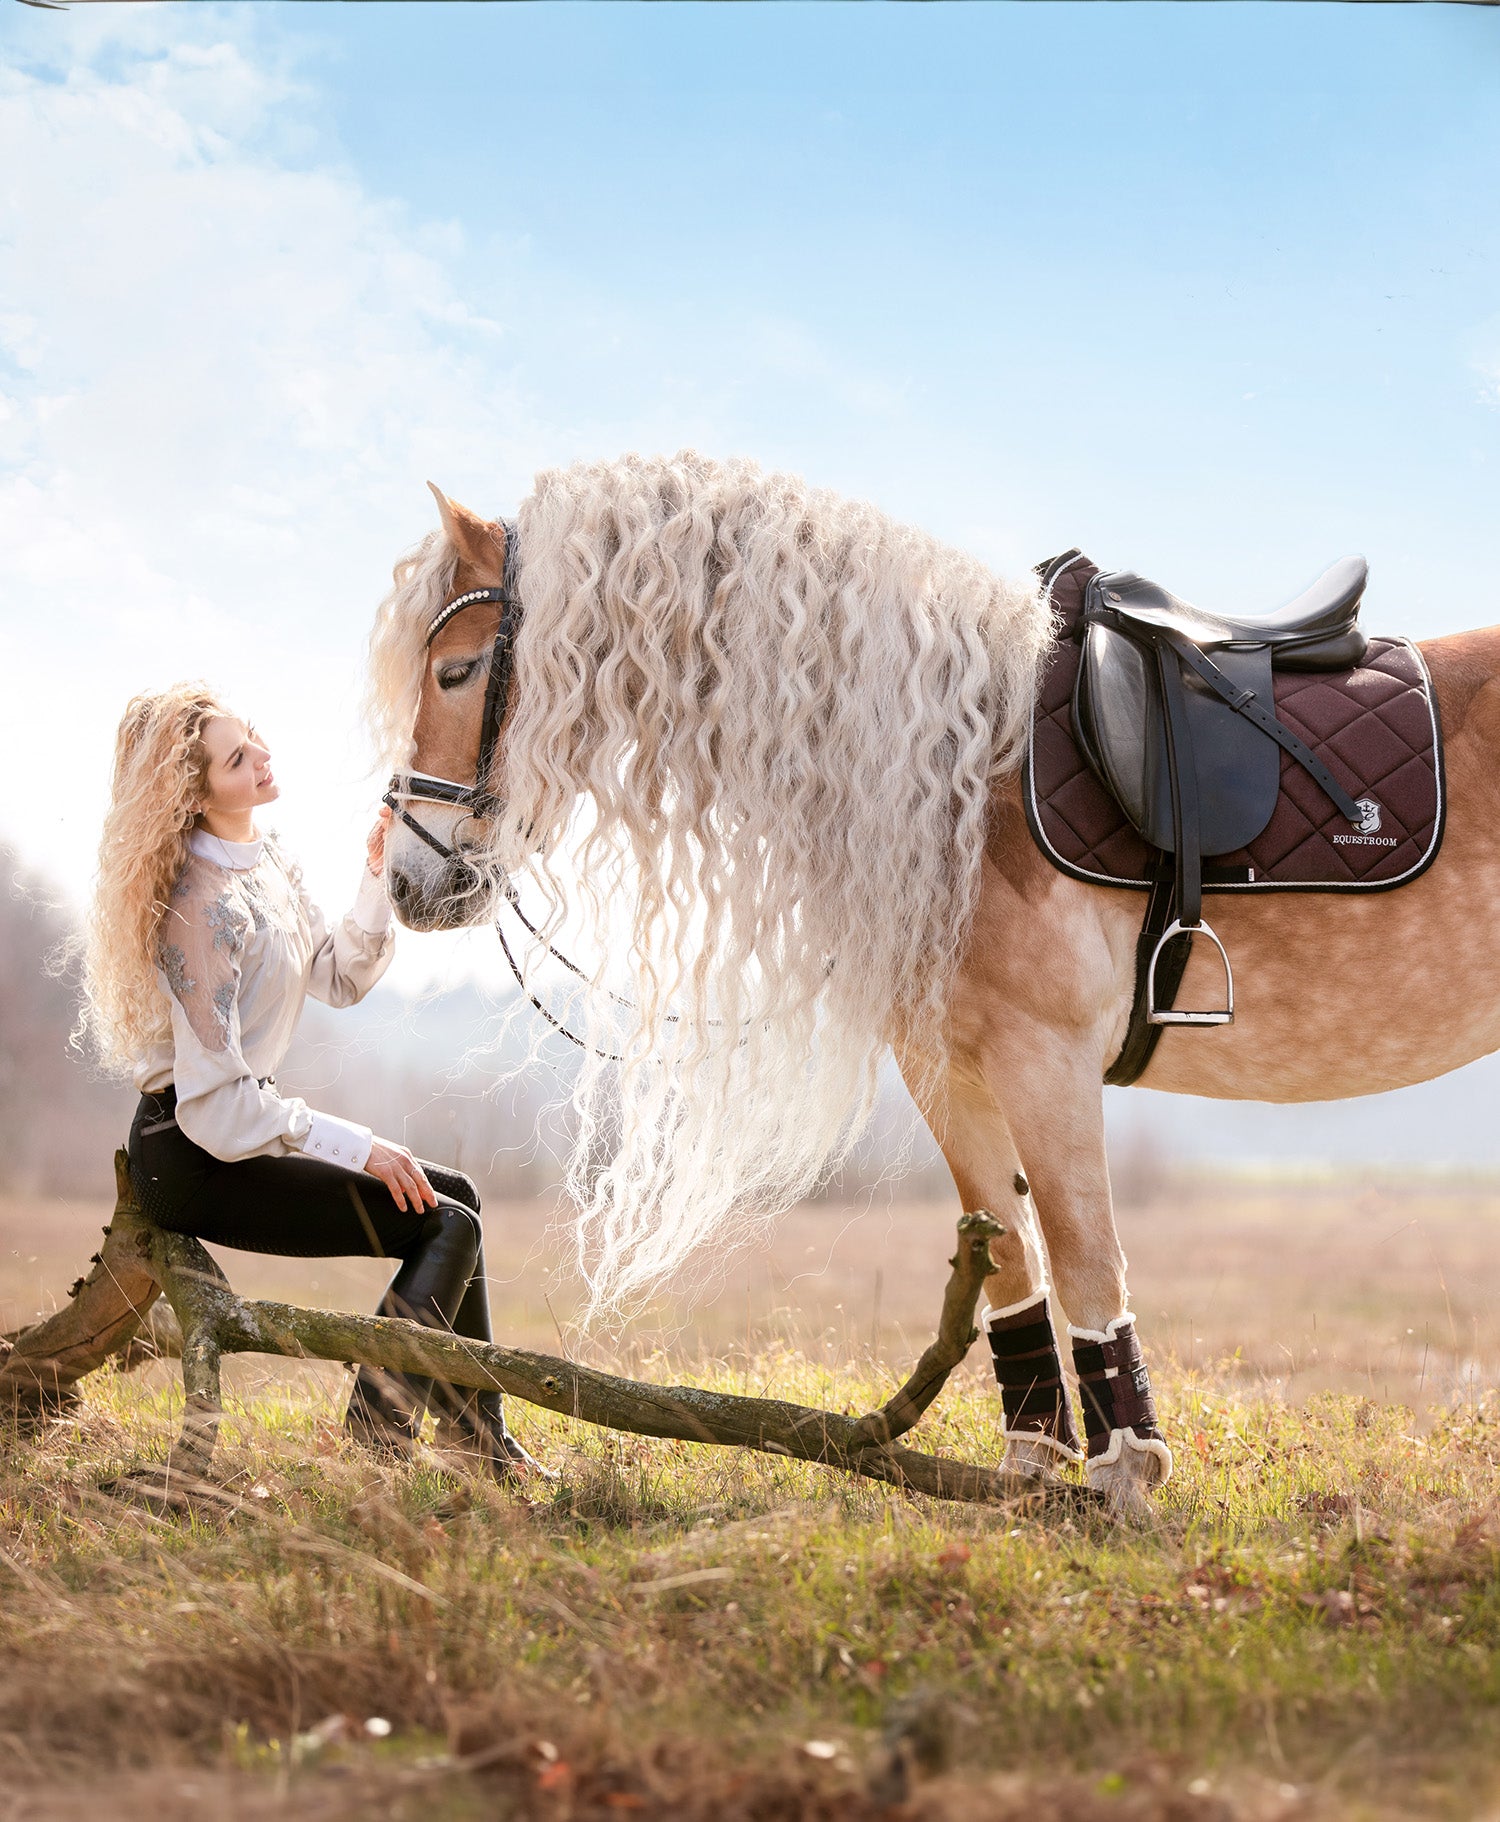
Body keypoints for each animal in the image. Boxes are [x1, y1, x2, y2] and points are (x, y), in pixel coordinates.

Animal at [365, 451, 1500, 1515]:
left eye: (458, 670)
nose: (410, 880)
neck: (963, 769)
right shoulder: (948, 1067)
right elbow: (1013, 1266)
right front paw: (1033, 1474)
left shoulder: (1047, 1061)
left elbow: (1086, 1258)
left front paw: (1125, 1480)